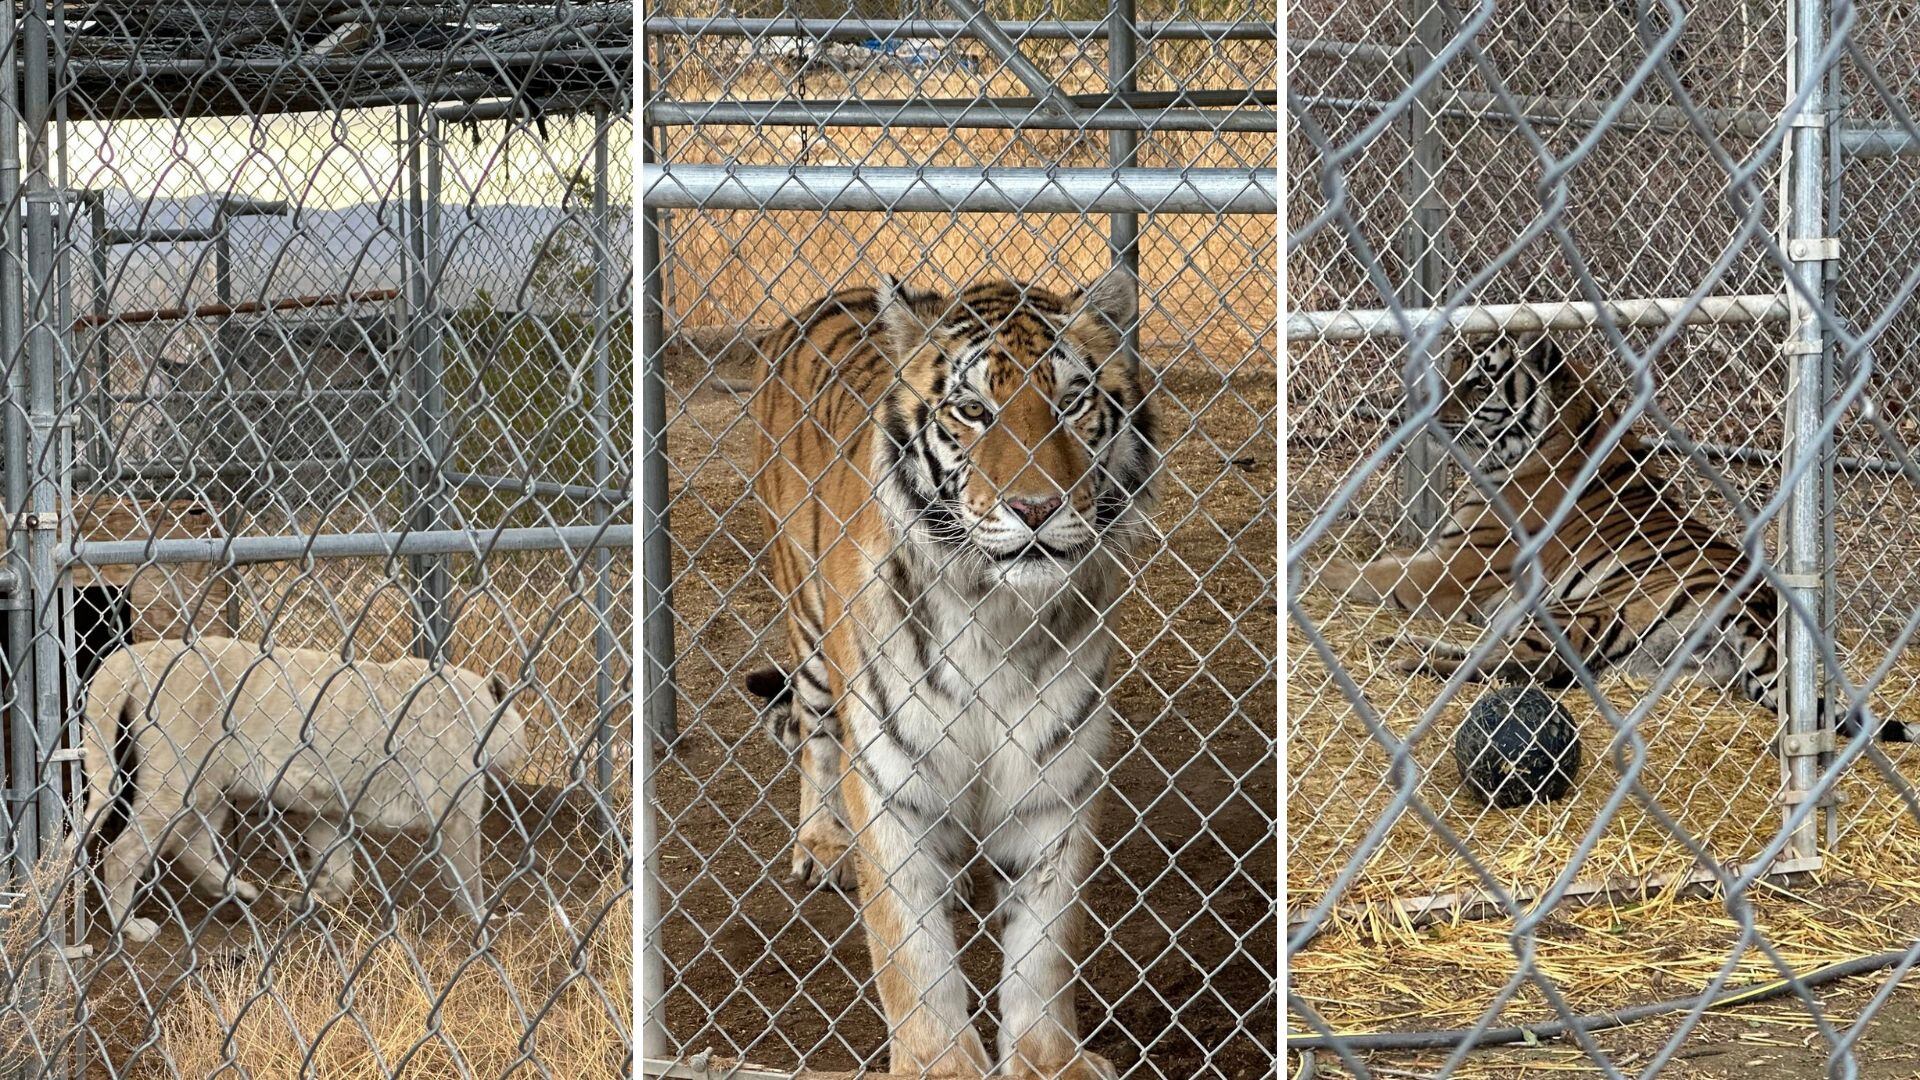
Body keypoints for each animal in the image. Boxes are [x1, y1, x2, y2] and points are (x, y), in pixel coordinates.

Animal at [745, 271, 1157, 1079]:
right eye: (972, 411)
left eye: (1071, 401)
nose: (1035, 507)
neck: (994, 615)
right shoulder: (890, 784)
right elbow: (912, 952)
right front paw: (939, 1064)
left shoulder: (1054, 785)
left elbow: (1044, 950)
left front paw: (1048, 1061)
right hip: (807, 627)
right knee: (815, 736)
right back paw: (823, 844)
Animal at [1318, 330, 1898, 740]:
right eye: (1454, 367)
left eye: (1480, 381)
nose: (1429, 419)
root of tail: (1759, 617)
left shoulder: (1452, 566)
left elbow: (1364, 574)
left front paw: (1311, 569)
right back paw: (1399, 644)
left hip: (1580, 608)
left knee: (1540, 666)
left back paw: (1409, 658)